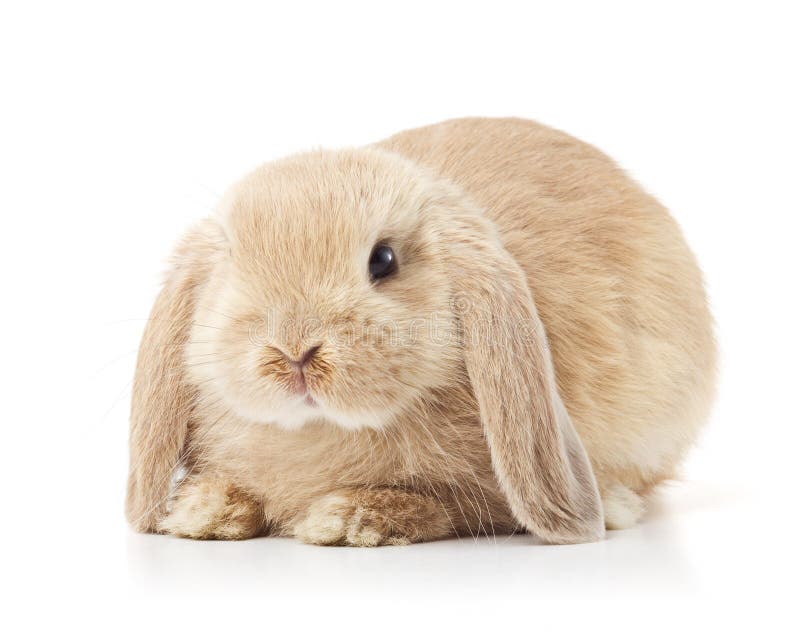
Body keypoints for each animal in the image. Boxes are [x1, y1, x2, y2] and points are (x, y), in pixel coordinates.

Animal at [125, 117, 716, 546]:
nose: (293, 349)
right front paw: (204, 510)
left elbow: (453, 506)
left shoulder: (484, 495)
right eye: (230, 258)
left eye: (383, 259)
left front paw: (349, 519)